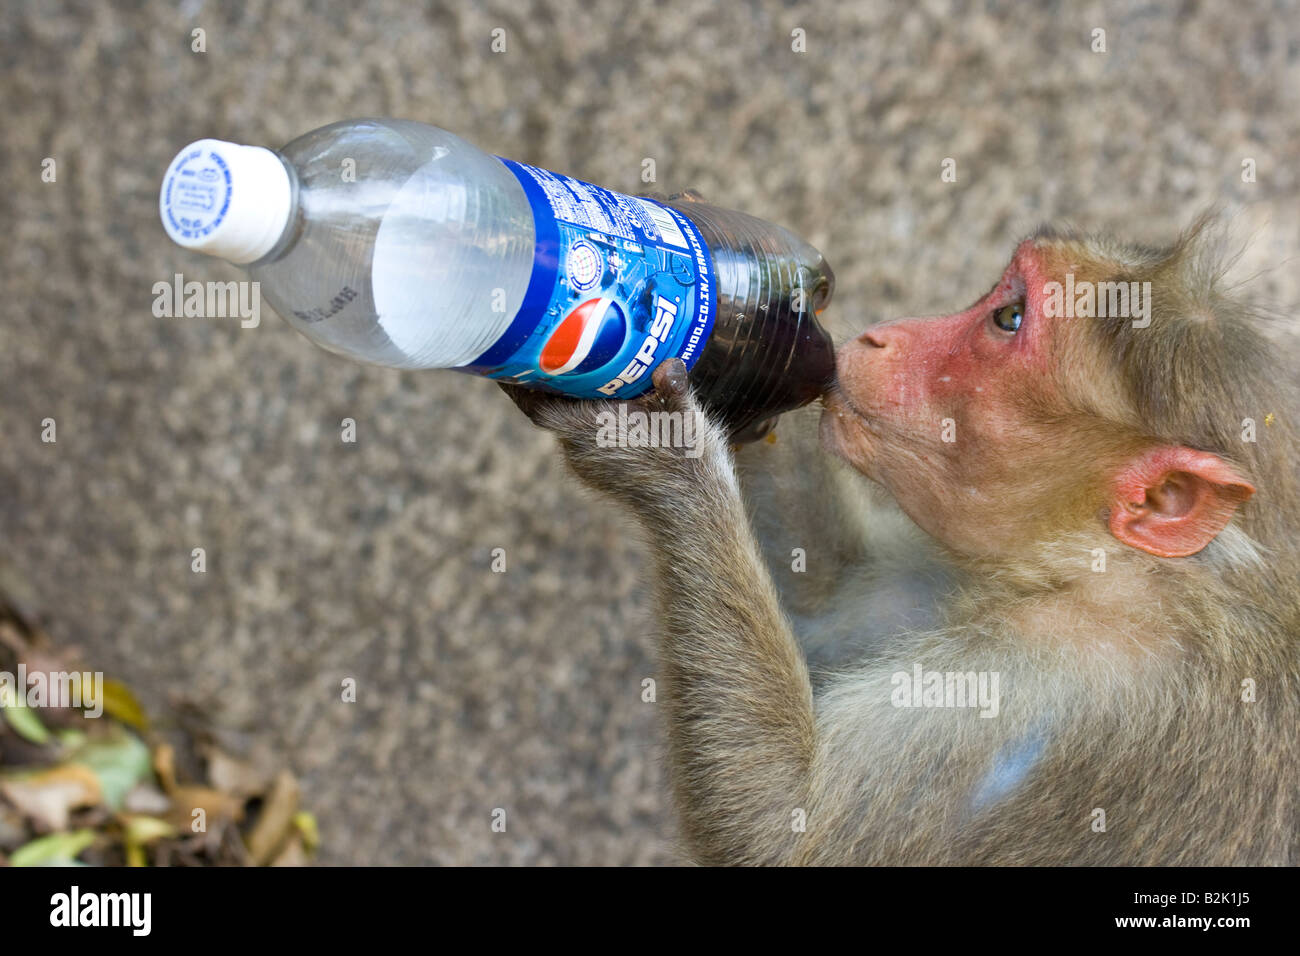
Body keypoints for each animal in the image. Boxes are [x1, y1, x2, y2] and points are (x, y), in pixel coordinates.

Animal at [504, 215, 1300, 865]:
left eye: (1009, 318)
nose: (876, 334)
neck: (1095, 564)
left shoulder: (1065, 681)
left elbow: (786, 832)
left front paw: (657, 445)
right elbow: (825, 602)